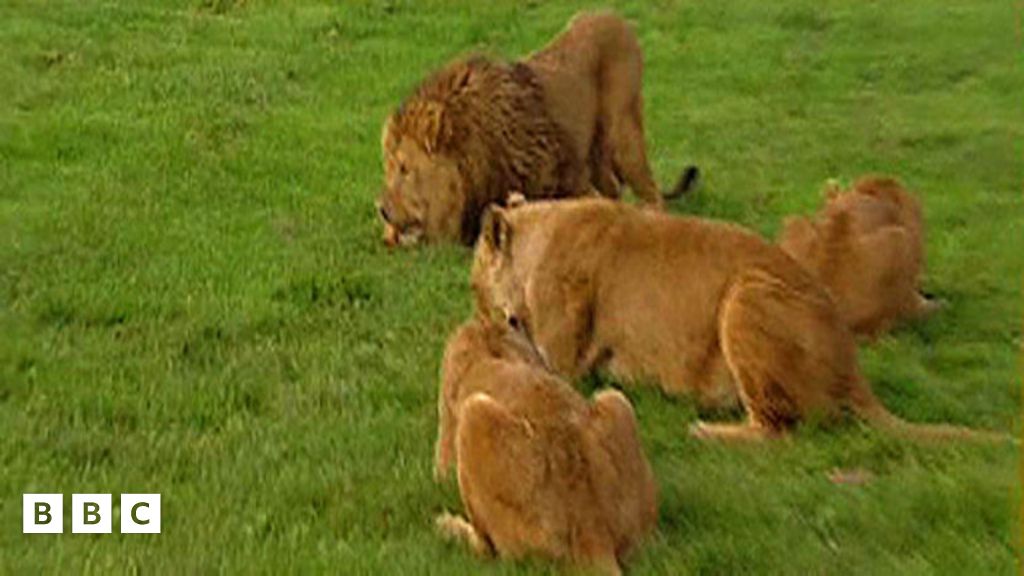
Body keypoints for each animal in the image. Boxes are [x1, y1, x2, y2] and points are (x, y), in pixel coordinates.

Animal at [377, 11, 698, 247]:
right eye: (388, 168)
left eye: (405, 168)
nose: (381, 209)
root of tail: (615, 17)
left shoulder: (571, 179)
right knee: (615, 188)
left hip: (623, 135)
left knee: (653, 195)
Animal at [434, 318, 657, 574]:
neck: (487, 346)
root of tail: (593, 529)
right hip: (616, 401)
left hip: (474, 414)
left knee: (487, 550)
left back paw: (447, 527)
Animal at [471, 197, 1006, 442]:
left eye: (475, 288)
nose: (477, 313)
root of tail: (853, 366)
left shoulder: (561, 364)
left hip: (745, 296)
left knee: (778, 432)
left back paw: (704, 429)